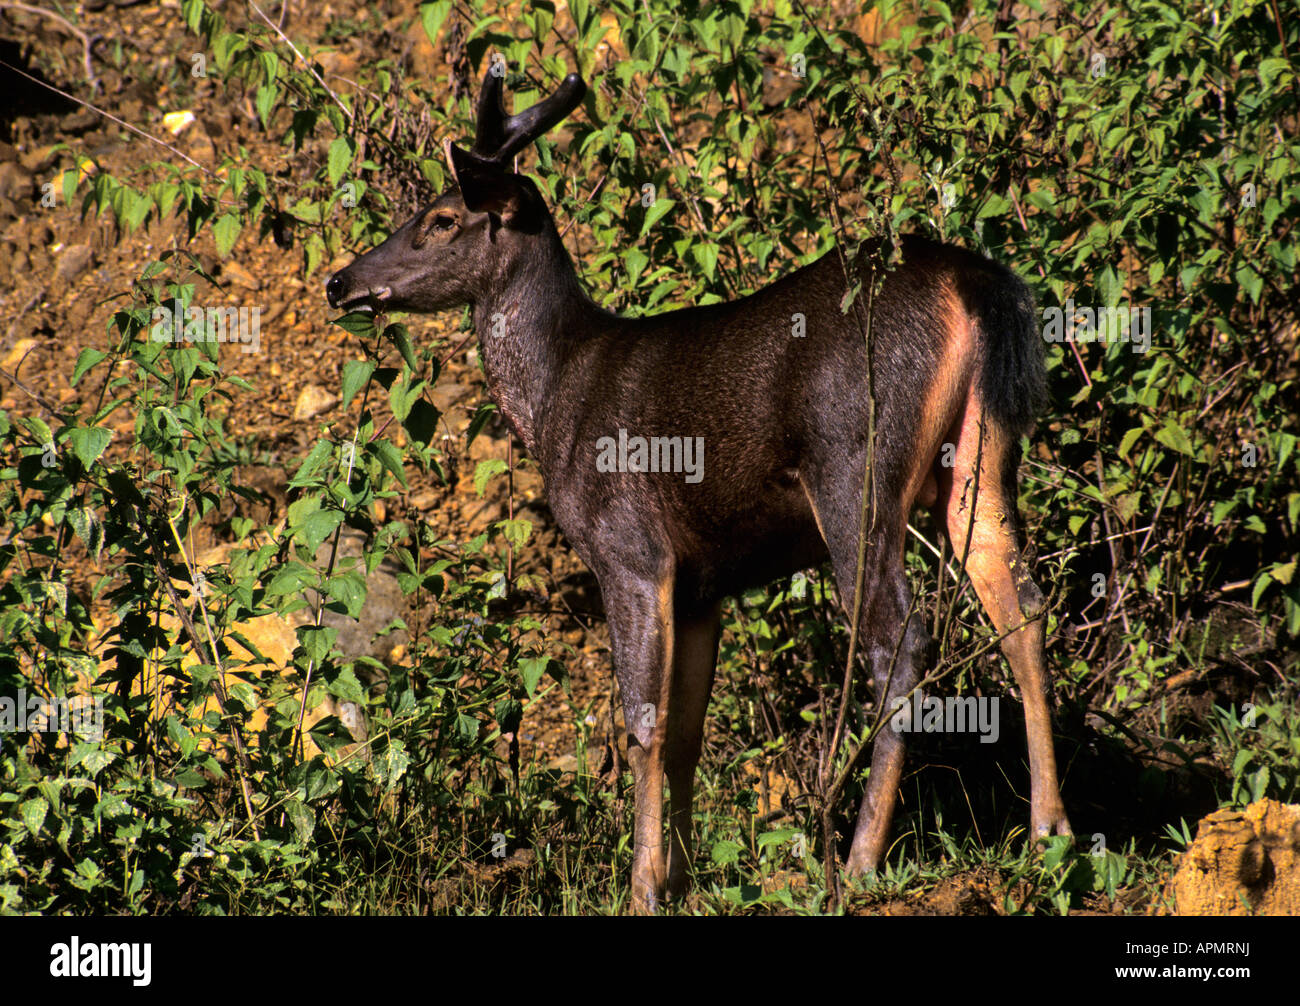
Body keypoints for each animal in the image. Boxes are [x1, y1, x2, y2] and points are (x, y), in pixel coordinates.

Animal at [325, 68, 1072, 913]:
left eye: (441, 218)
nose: (341, 281)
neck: (555, 399)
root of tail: (971, 282)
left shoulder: (629, 550)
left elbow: (643, 721)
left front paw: (641, 889)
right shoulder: (703, 584)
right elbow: (686, 734)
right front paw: (677, 880)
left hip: (855, 464)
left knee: (898, 639)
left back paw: (860, 861)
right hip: (983, 455)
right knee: (1022, 604)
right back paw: (1050, 833)